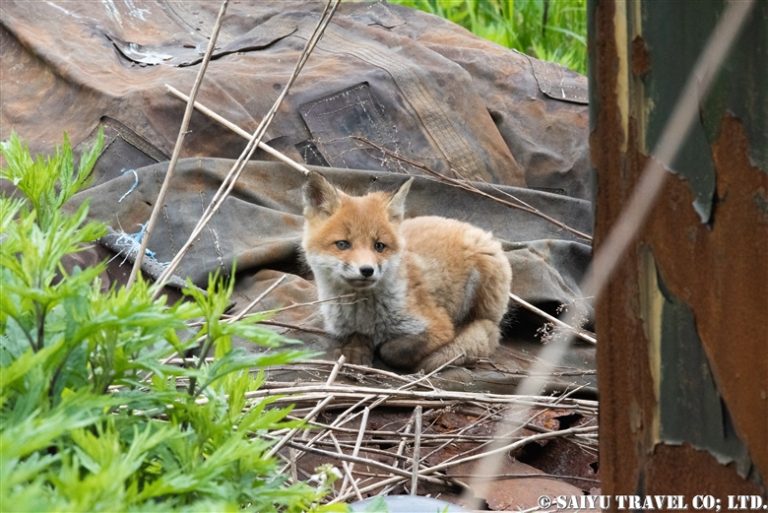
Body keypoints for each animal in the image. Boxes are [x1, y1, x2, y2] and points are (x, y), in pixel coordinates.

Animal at [301, 171, 512, 373]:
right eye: (343, 244)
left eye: (379, 246)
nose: (367, 270)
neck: (364, 314)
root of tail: (466, 224)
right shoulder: (346, 328)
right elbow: (355, 339)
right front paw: (356, 353)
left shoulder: (438, 326)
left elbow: (391, 350)